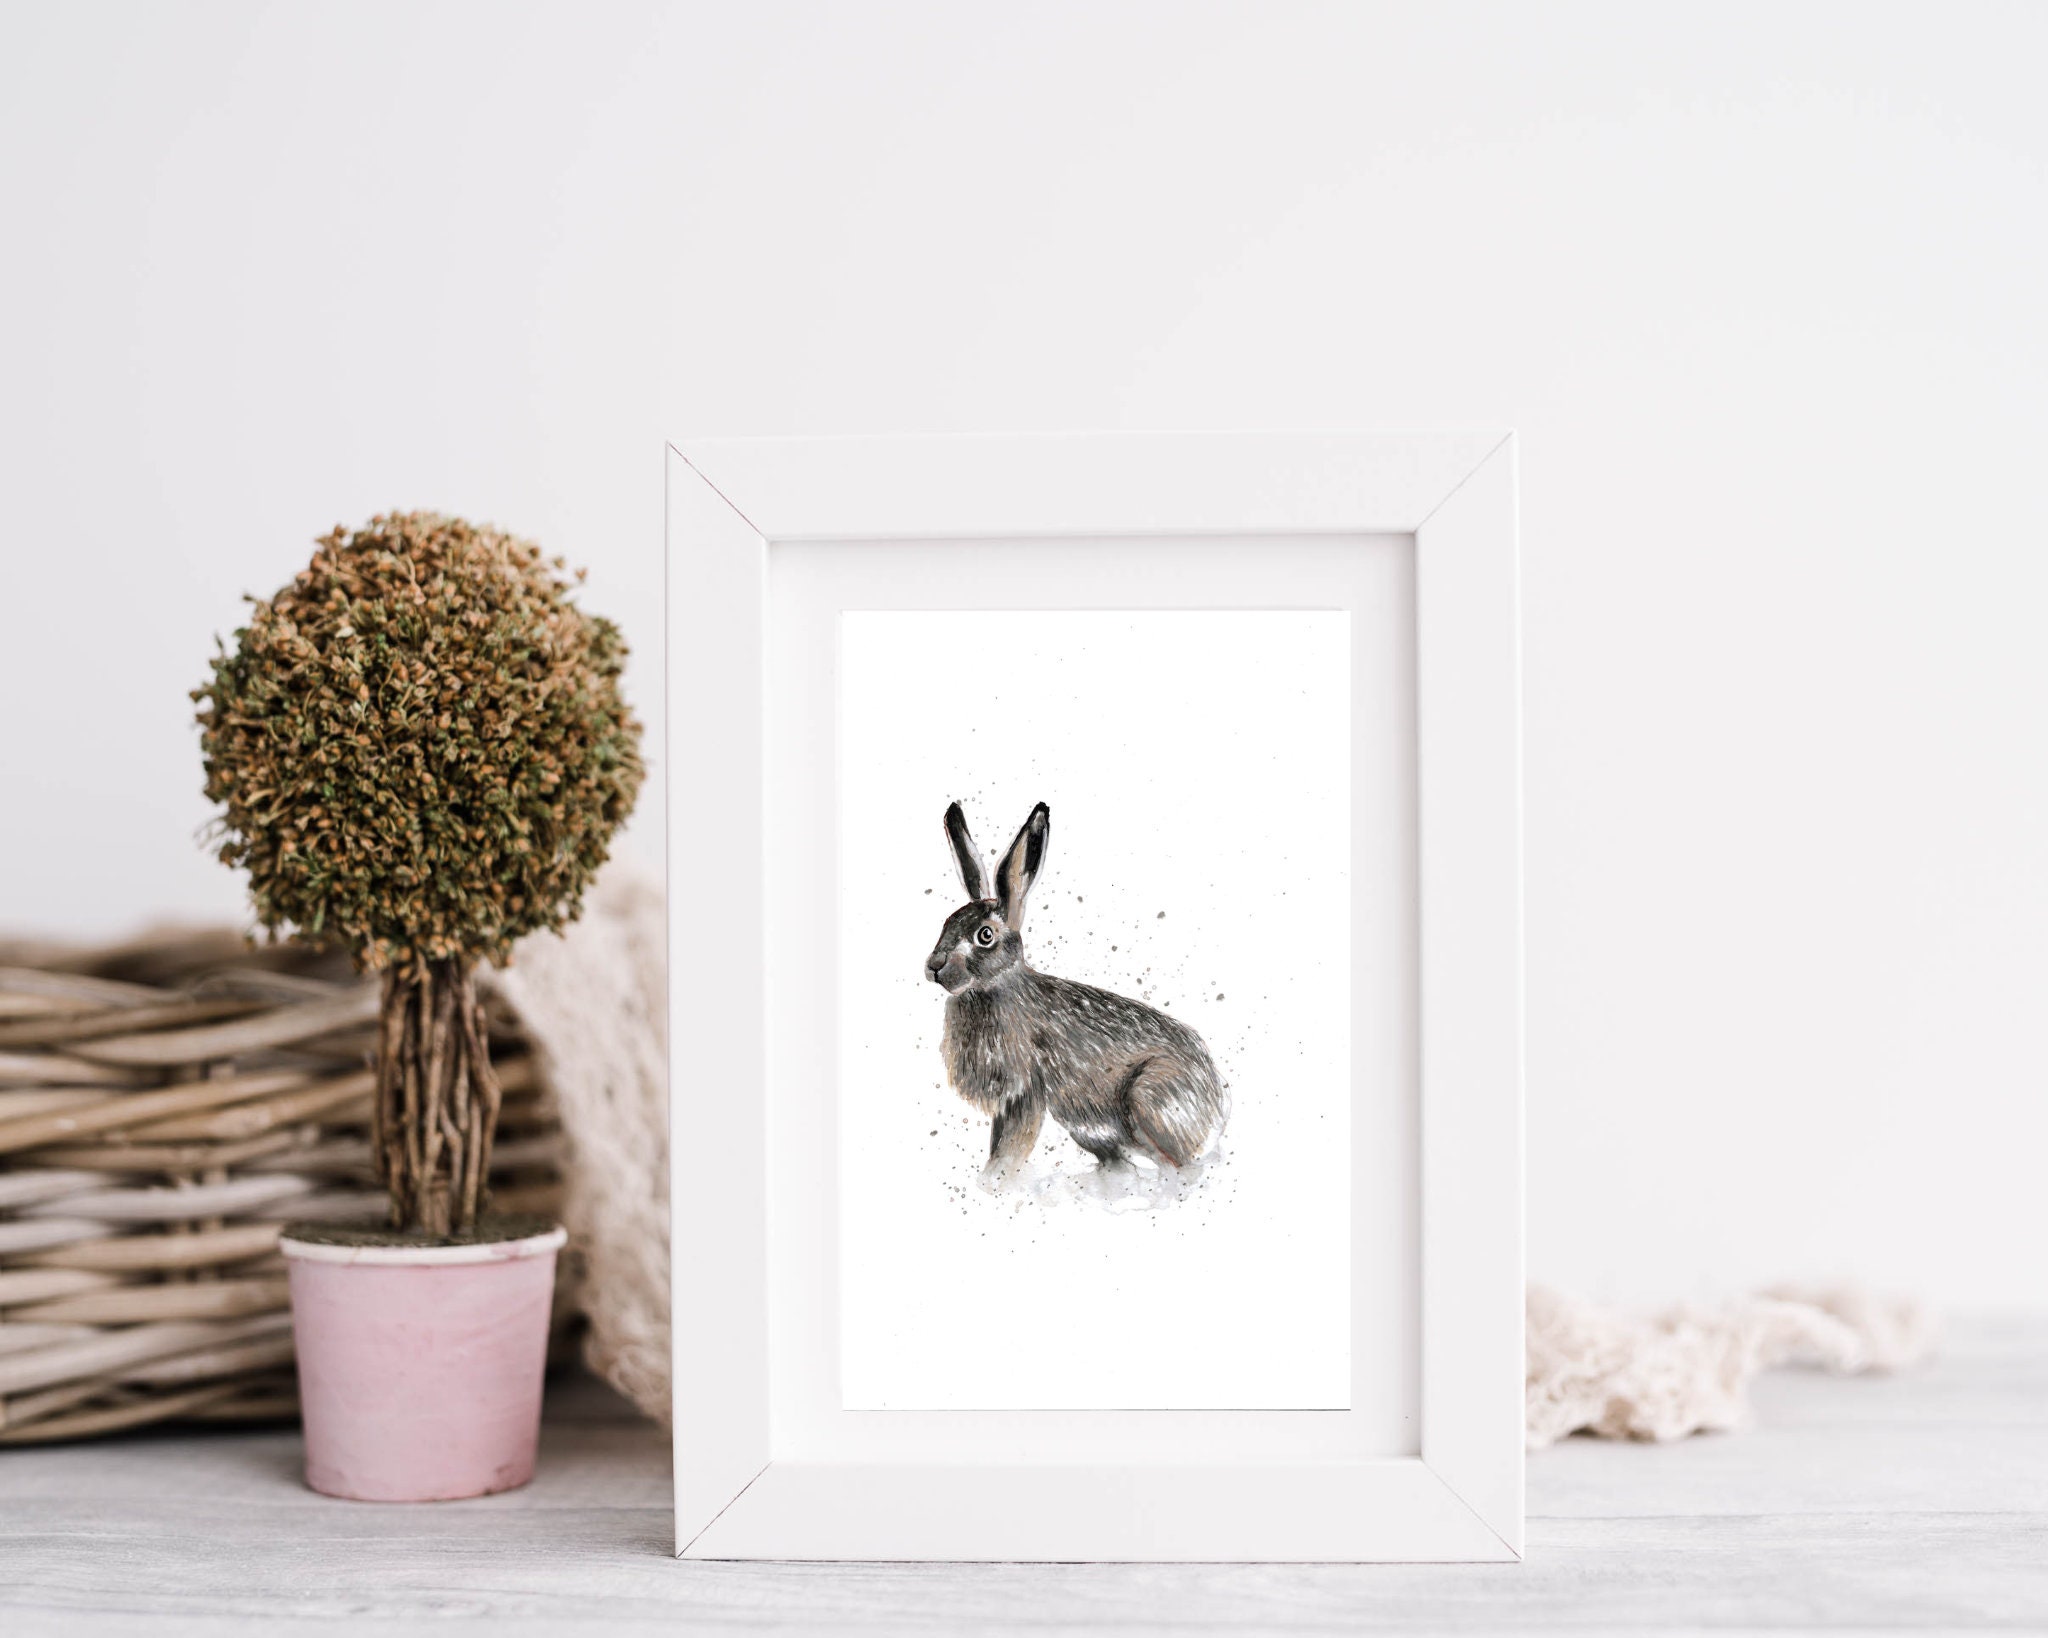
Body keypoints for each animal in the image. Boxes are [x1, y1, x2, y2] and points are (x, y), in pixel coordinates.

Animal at [925, 801, 1225, 1184]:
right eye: (946, 922)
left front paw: (992, 1184)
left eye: (985, 935)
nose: (934, 965)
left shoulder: (1024, 1094)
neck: (990, 988)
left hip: (1147, 1101)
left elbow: (1007, 1156)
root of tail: (1217, 1109)